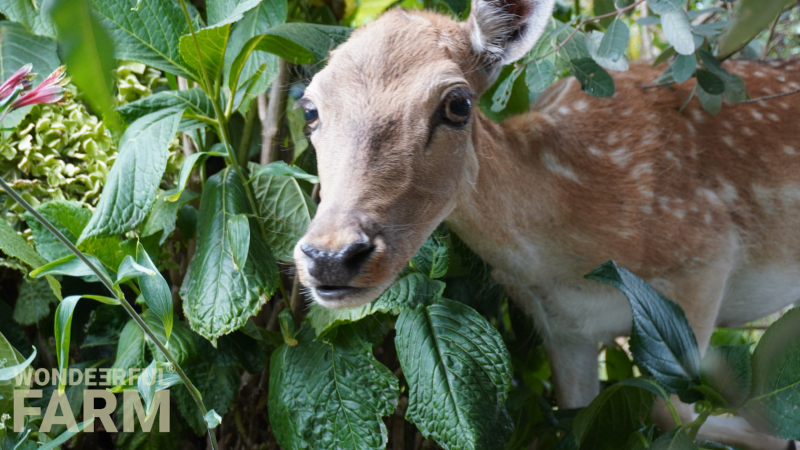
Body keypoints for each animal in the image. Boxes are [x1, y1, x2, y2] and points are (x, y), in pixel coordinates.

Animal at [290, 0, 800, 447]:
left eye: (458, 103)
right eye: (309, 108)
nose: (332, 255)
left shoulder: (704, 258)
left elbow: (674, 410)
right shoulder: (564, 330)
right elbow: (576, 419)